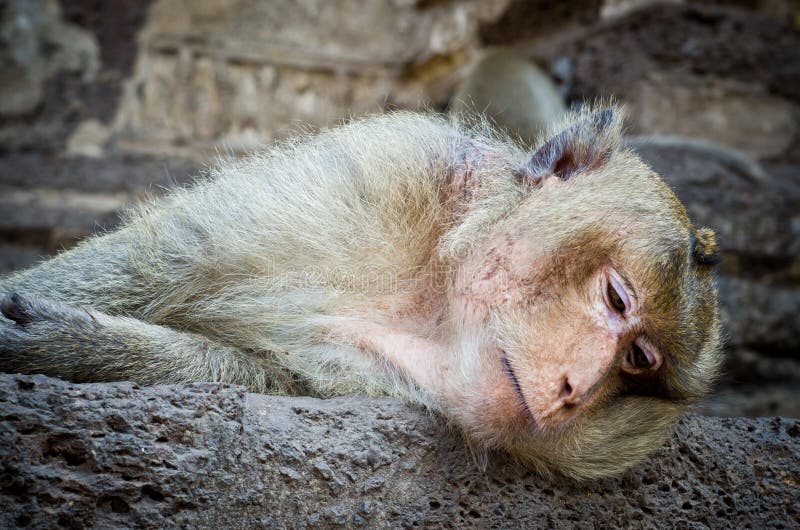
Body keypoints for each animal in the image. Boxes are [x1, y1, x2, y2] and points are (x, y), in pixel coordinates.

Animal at [0, 103, 722, 480]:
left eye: (639, 362)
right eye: (616, 299)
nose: (576, 390)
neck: (436, 297)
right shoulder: (388, 175)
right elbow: (157, 261)